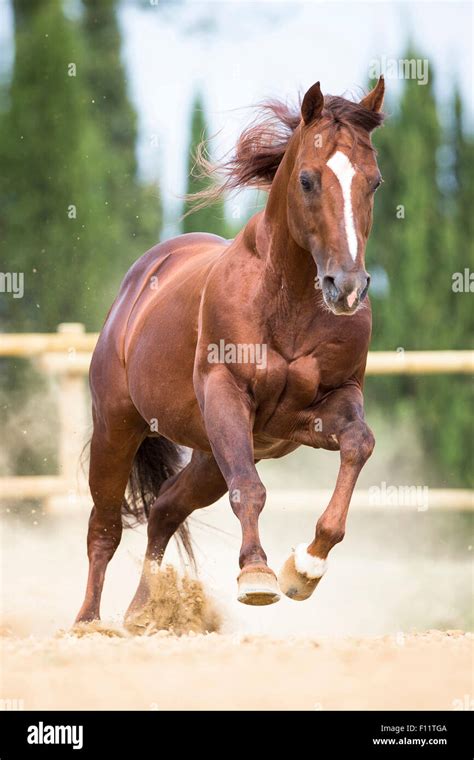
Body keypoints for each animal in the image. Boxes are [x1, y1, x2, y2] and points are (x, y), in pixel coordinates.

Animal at [75, 76, 385, 625]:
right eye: (308, 180)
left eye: (374, 182)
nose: (347, 287)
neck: (284, 300)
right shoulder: (226, 395)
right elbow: (251, 489)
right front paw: (257, 574)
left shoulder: (328, 404)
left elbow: (359, 445)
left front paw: (305, 568)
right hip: (118, 426)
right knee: (105, 528)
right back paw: (90, 624)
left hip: (207, 457)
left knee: (164, 510)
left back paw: (144, 613)